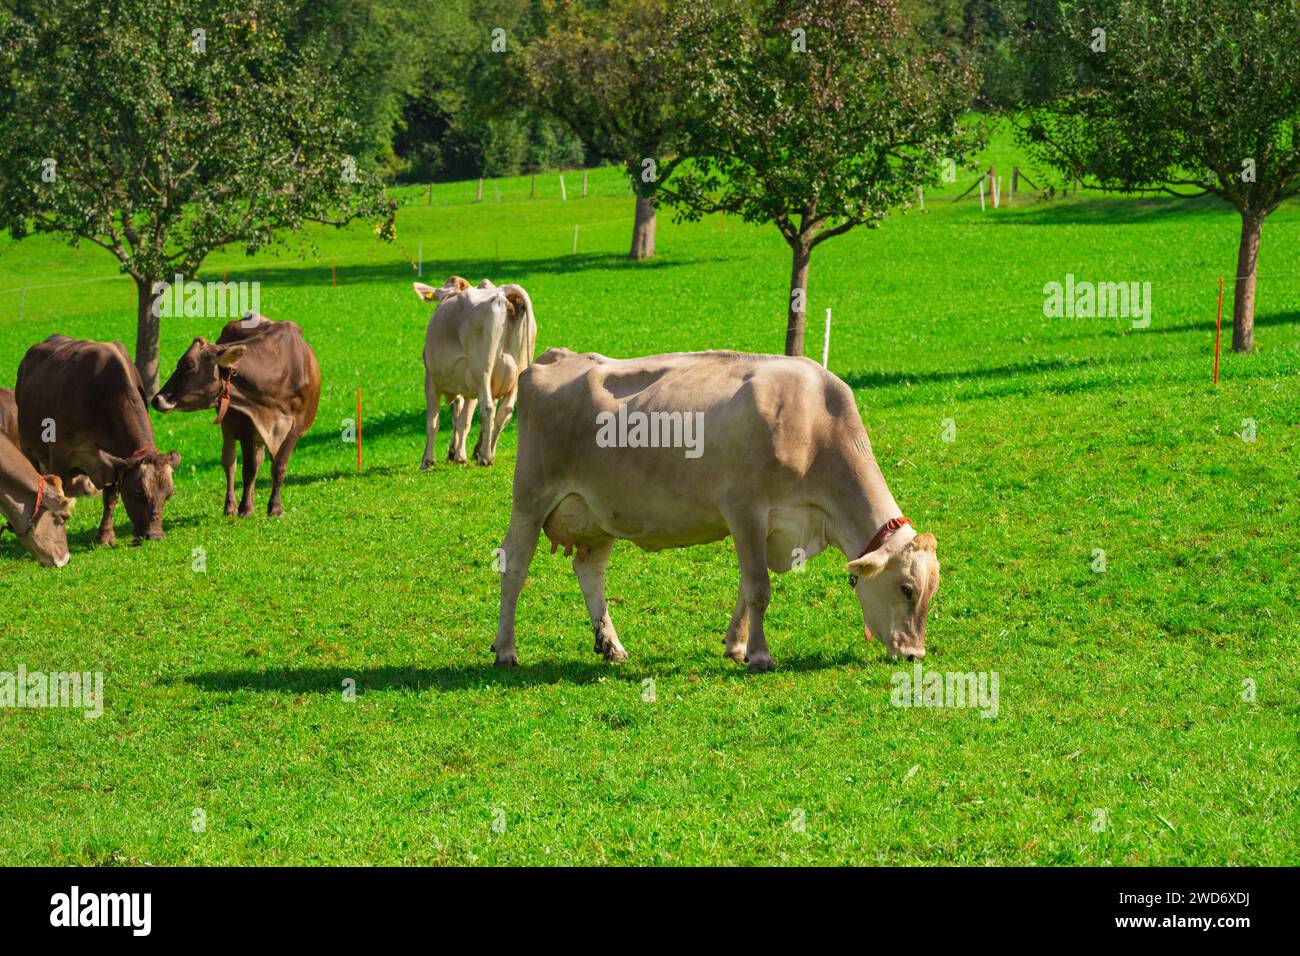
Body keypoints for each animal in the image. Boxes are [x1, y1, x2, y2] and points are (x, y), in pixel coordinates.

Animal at [15, 336, 180, 546]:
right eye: (138, 493)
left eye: (168, 495)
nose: (155, 535)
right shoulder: (59, 454)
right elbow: (57, 497)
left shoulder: (115, 461)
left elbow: (110, 498)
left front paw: (105, 536)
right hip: (28, 447)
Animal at [152, 313, 320, 517]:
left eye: (188, 365)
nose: (157, 399)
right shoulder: (247, 424)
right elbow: (248, 468)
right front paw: (245, 508)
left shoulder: (296, 426)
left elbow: (279, 466)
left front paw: (275, 507)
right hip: (228, 426)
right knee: (229, 463)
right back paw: (230, 506)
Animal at [412, 276, 537, 469]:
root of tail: (504, 291)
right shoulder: (468, 387)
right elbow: (464, 420)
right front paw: (459, 455)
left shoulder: (431, 380)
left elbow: (433, 421)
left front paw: (428, 460)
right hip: (517, 373)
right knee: (505, 411)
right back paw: (488, 452)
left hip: (482, 371)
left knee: (488, 407)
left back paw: (484, 457)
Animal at [493, 349, 941, 672]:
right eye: (907, 588)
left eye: (931, 592)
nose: (914, 655)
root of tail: (554, 357)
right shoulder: (745, 509)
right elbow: (759, 588)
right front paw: (760, 656)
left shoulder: (769, 527)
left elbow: (745, 586)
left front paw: (737, 645)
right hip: (530, 498)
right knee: (514, 569)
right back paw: (506, 650)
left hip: (596, 513)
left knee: (590, 571)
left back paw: (612, 645)